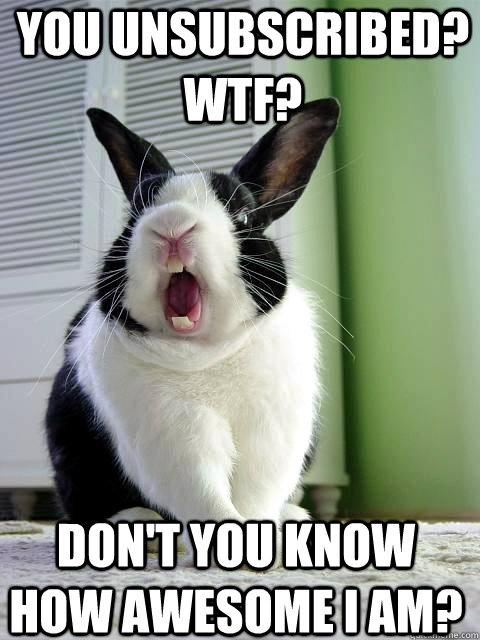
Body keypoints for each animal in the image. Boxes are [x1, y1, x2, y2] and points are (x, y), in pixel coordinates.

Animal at [45, 98, 340, 541]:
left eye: (243, 215)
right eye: (136, 215)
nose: (172, 225)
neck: (206, 350)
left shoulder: (271, 435)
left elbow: (256, 495)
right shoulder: (175, 435)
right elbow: (203, 494)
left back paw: (296, 517)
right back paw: (136, 521)